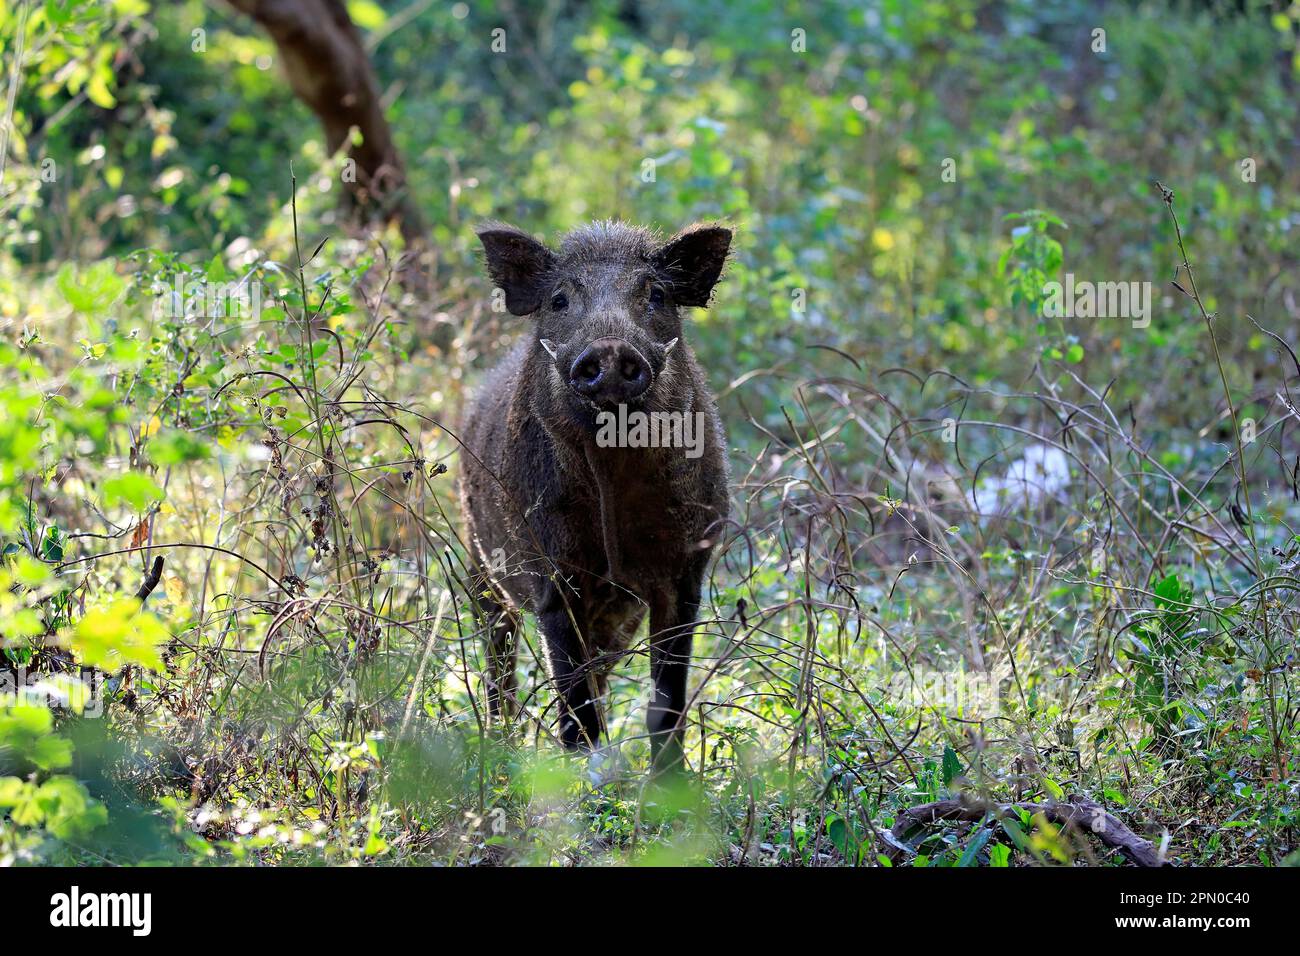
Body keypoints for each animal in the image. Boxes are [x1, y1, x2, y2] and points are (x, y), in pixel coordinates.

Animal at [458, 220, 731, 773]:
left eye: (656, 294)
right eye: (559, 300)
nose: (609, 349)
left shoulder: (687, 570)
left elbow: (666, 698)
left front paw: (672, 783)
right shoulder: (550, 573)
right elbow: (573, 702)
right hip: (479, 567)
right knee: (500, 659)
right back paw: (500, 743)